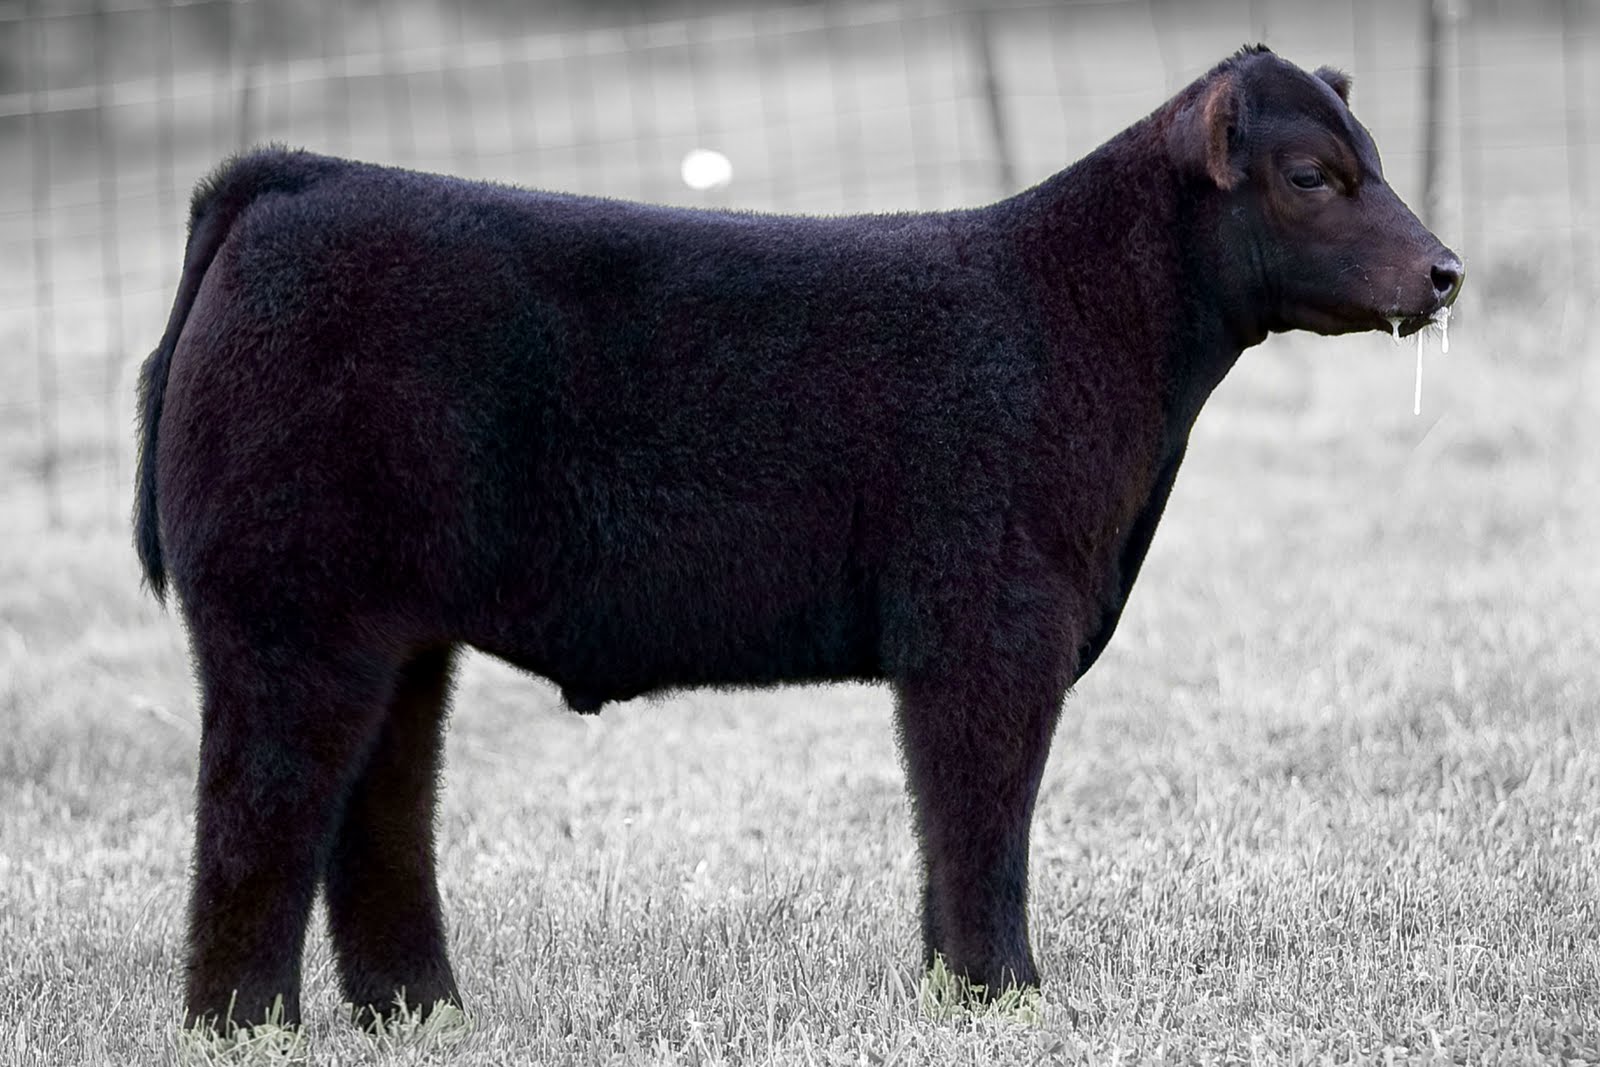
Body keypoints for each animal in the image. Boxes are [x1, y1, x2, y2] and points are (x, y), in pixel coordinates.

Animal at [134, 45, 1462, 1033]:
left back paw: (419, 1010)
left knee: (379, 804)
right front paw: (1005, 992)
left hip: (398, 635)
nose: (1446, 270)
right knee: (256, 813)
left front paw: (957, 985)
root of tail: (292, 178)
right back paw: (244, 1023)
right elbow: (980, 813)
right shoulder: (988, 627)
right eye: (1310, 174)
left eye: (1372, 159)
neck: (1080, 324)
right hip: (287, 617)